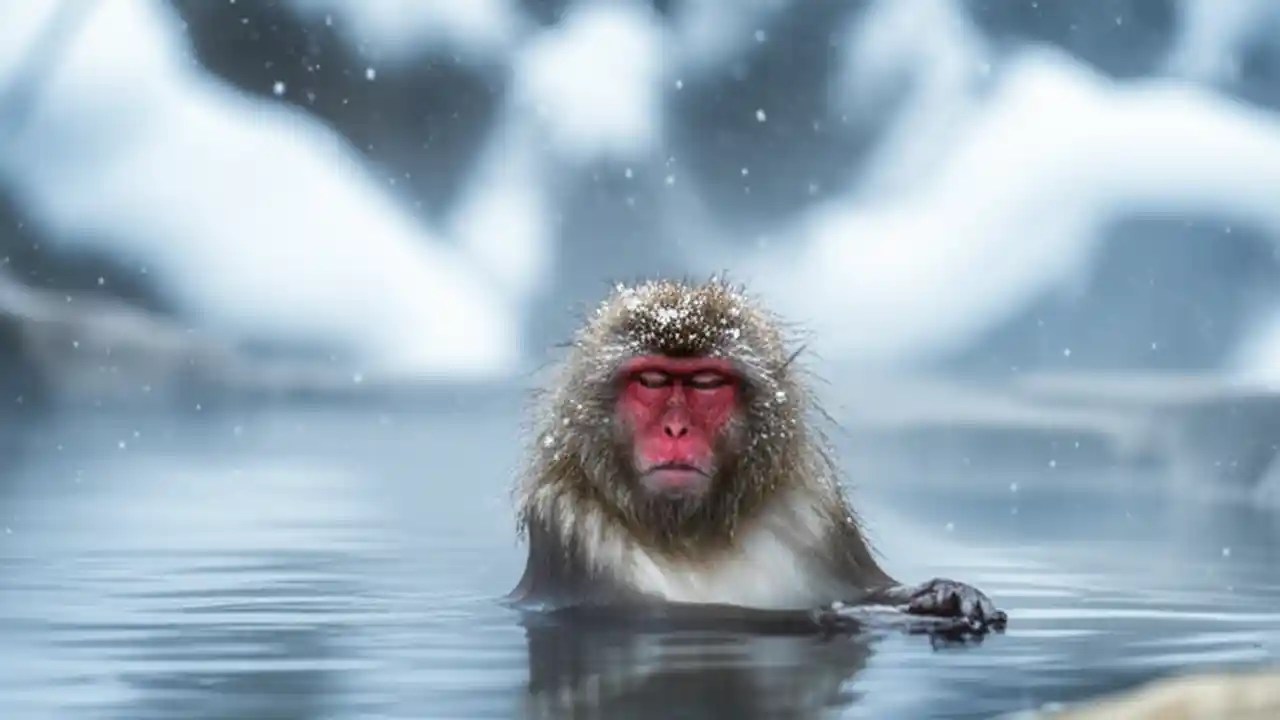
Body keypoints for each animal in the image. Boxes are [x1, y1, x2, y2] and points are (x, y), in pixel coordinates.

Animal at [510, 279, 1006, 634]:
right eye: (651, 380)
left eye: (707, 383)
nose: (676, 429)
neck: (690, 537)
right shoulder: (573, 532)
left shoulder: (816, 517)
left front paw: (946, 594)